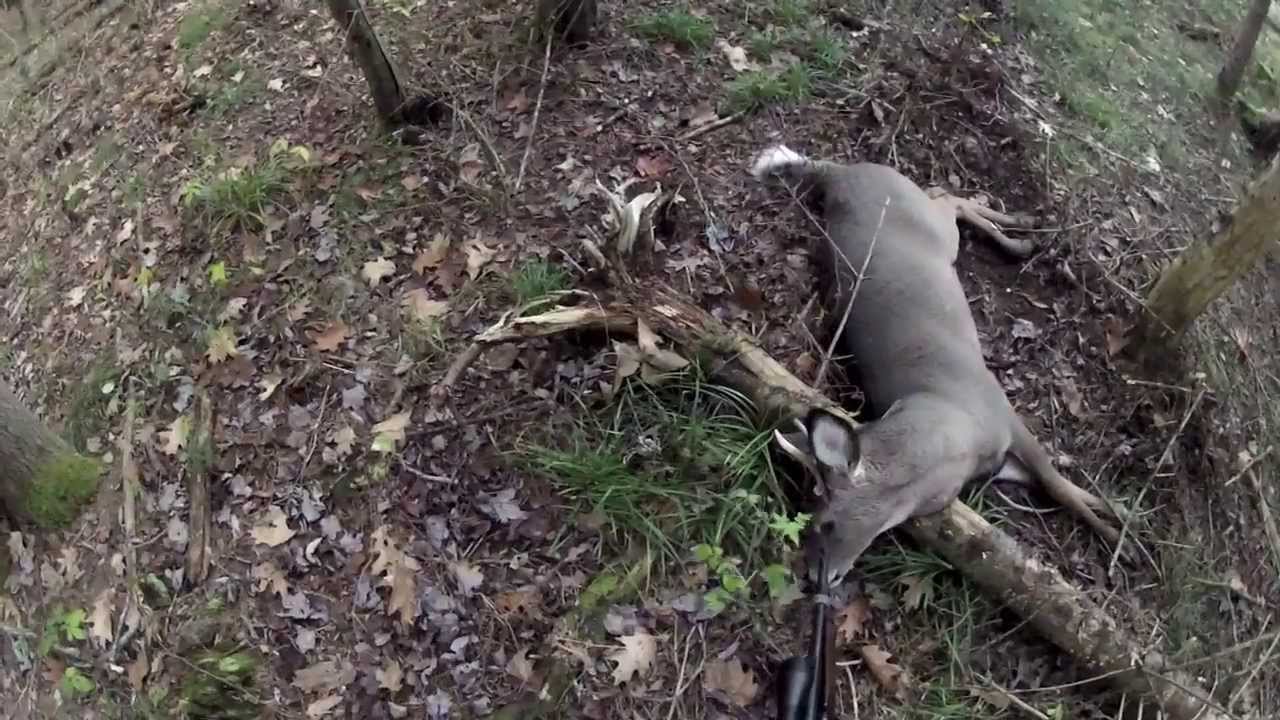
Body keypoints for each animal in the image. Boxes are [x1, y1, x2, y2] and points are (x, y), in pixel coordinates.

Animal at [750, 144, 1126, 587]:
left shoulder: (1006, 414)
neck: (955, 433)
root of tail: (841, 173)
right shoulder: (999, 461)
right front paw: (1120, 520)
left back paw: (1021, 234)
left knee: (949, 198)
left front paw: (1119, 534)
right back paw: (1022, 233)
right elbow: (1061, 486)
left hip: (932, 224)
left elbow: (1061, 487)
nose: (816, 577)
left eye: (826, 521)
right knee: (946, 196)